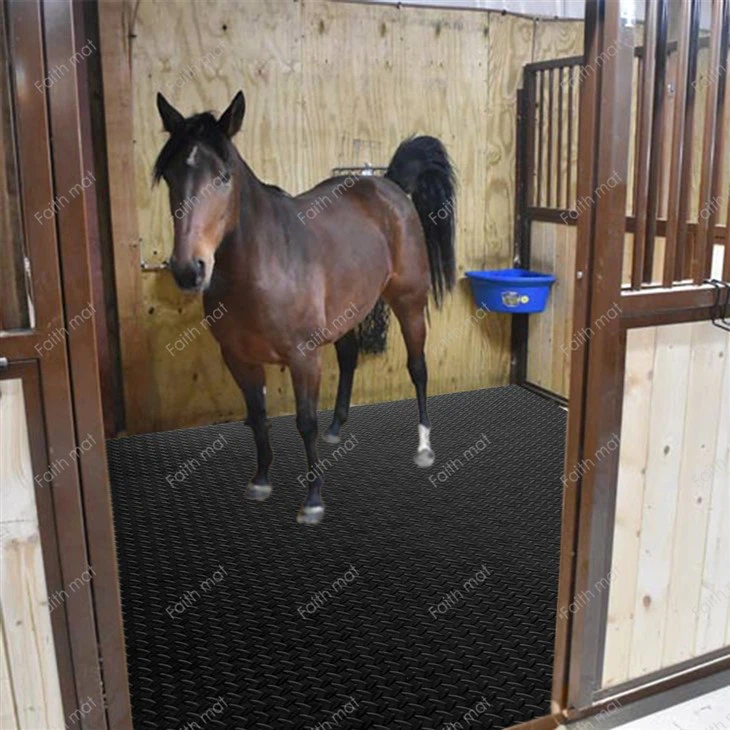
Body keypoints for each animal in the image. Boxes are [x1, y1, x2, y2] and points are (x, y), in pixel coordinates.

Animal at [154, 90, 456, 525]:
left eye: (223, 177)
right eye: (170, 176)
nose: (188, 269)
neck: (262, 266)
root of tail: (388, 185)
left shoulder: (303, 357)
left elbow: (305, 422)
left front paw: (313, 499)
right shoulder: (238, 358)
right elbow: (257, 417)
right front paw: (261, 480)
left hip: (409, 303)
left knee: (418, 369)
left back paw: (424, 448)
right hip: (349, 312)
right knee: (349, 356)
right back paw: (337, 429)